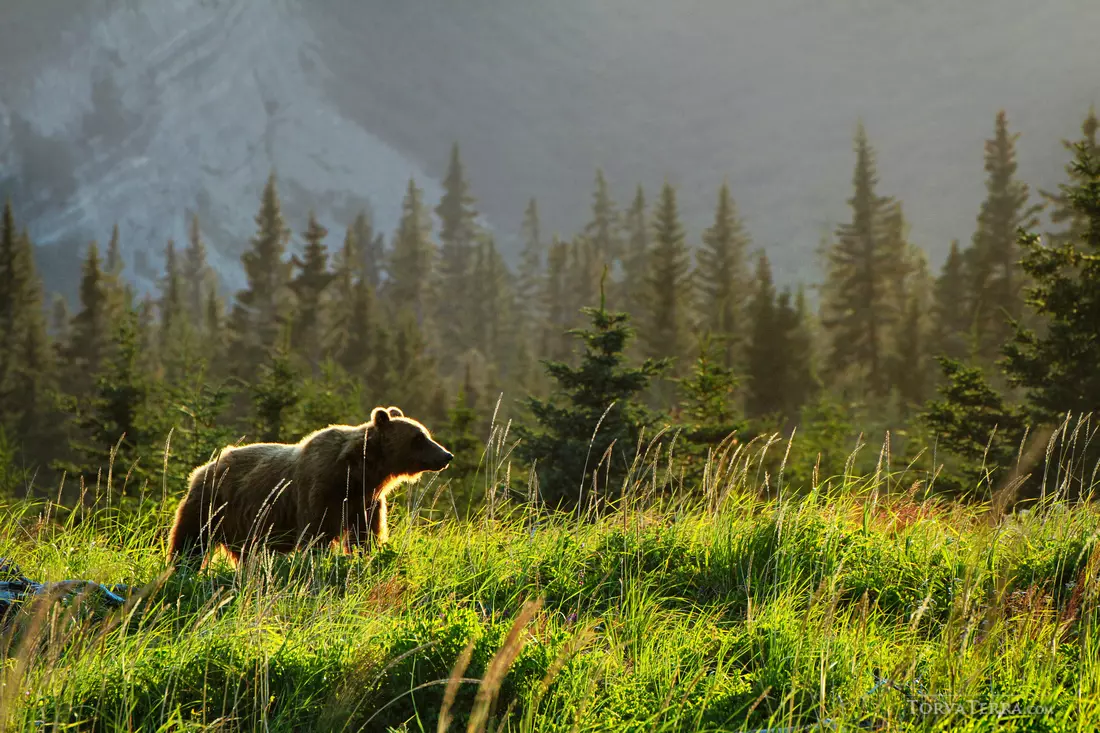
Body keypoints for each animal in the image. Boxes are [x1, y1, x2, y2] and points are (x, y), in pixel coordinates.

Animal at [167, 405, 451, 563]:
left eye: (425, 434)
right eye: (419, 437)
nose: (446, 455)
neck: (359, 472)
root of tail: (202, 469)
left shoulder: (365, 500)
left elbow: (365, 534)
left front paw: (366, 556)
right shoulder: (320, 489)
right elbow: (317, 533)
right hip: (212, 505)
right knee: (191, 541)